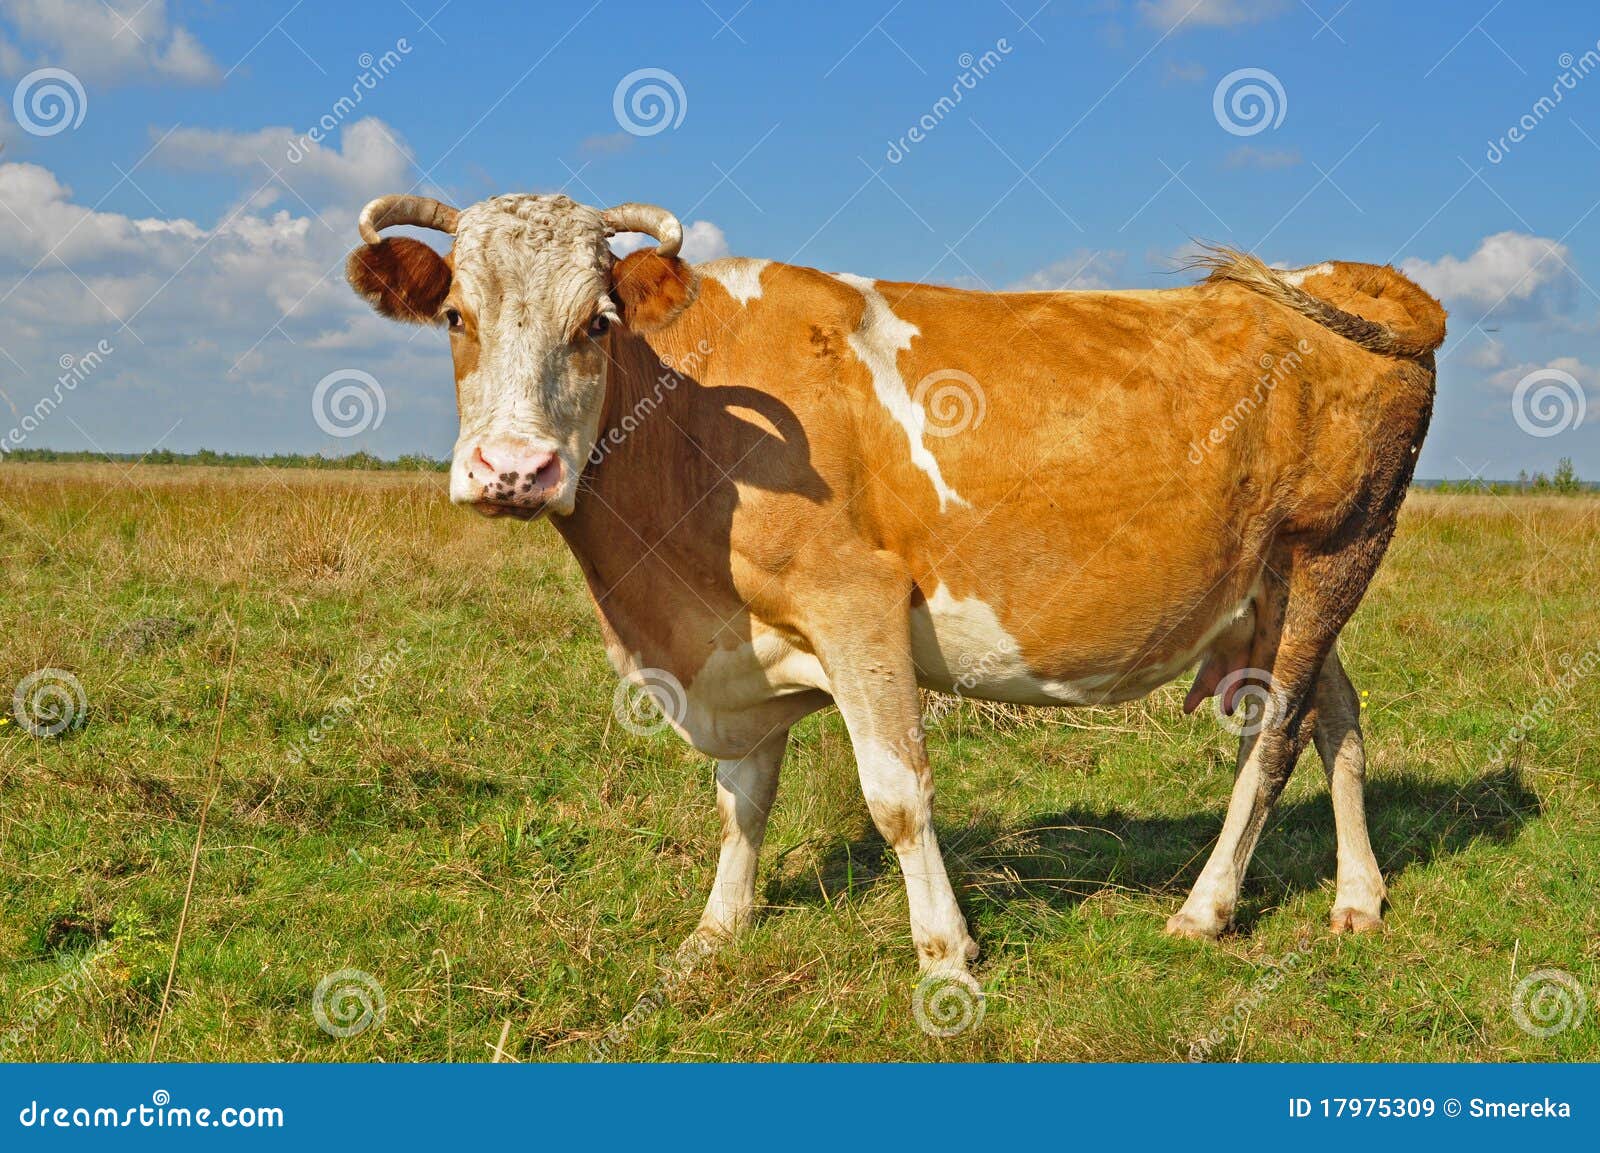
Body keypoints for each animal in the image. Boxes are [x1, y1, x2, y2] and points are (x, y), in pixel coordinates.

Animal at [346, 192, 1446, 978]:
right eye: (456, 316)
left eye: (597, 321)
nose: (512, 469)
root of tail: (1356, 276)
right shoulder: (744, 639)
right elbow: (743, 797)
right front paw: (717, 928)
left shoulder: (854, 601)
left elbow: (897, 793)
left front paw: (946, 953)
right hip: (1283, 586)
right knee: (1339, 717)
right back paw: (1358, 896)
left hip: (1336, 550)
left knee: (1277, 733)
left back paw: (1204, 909)